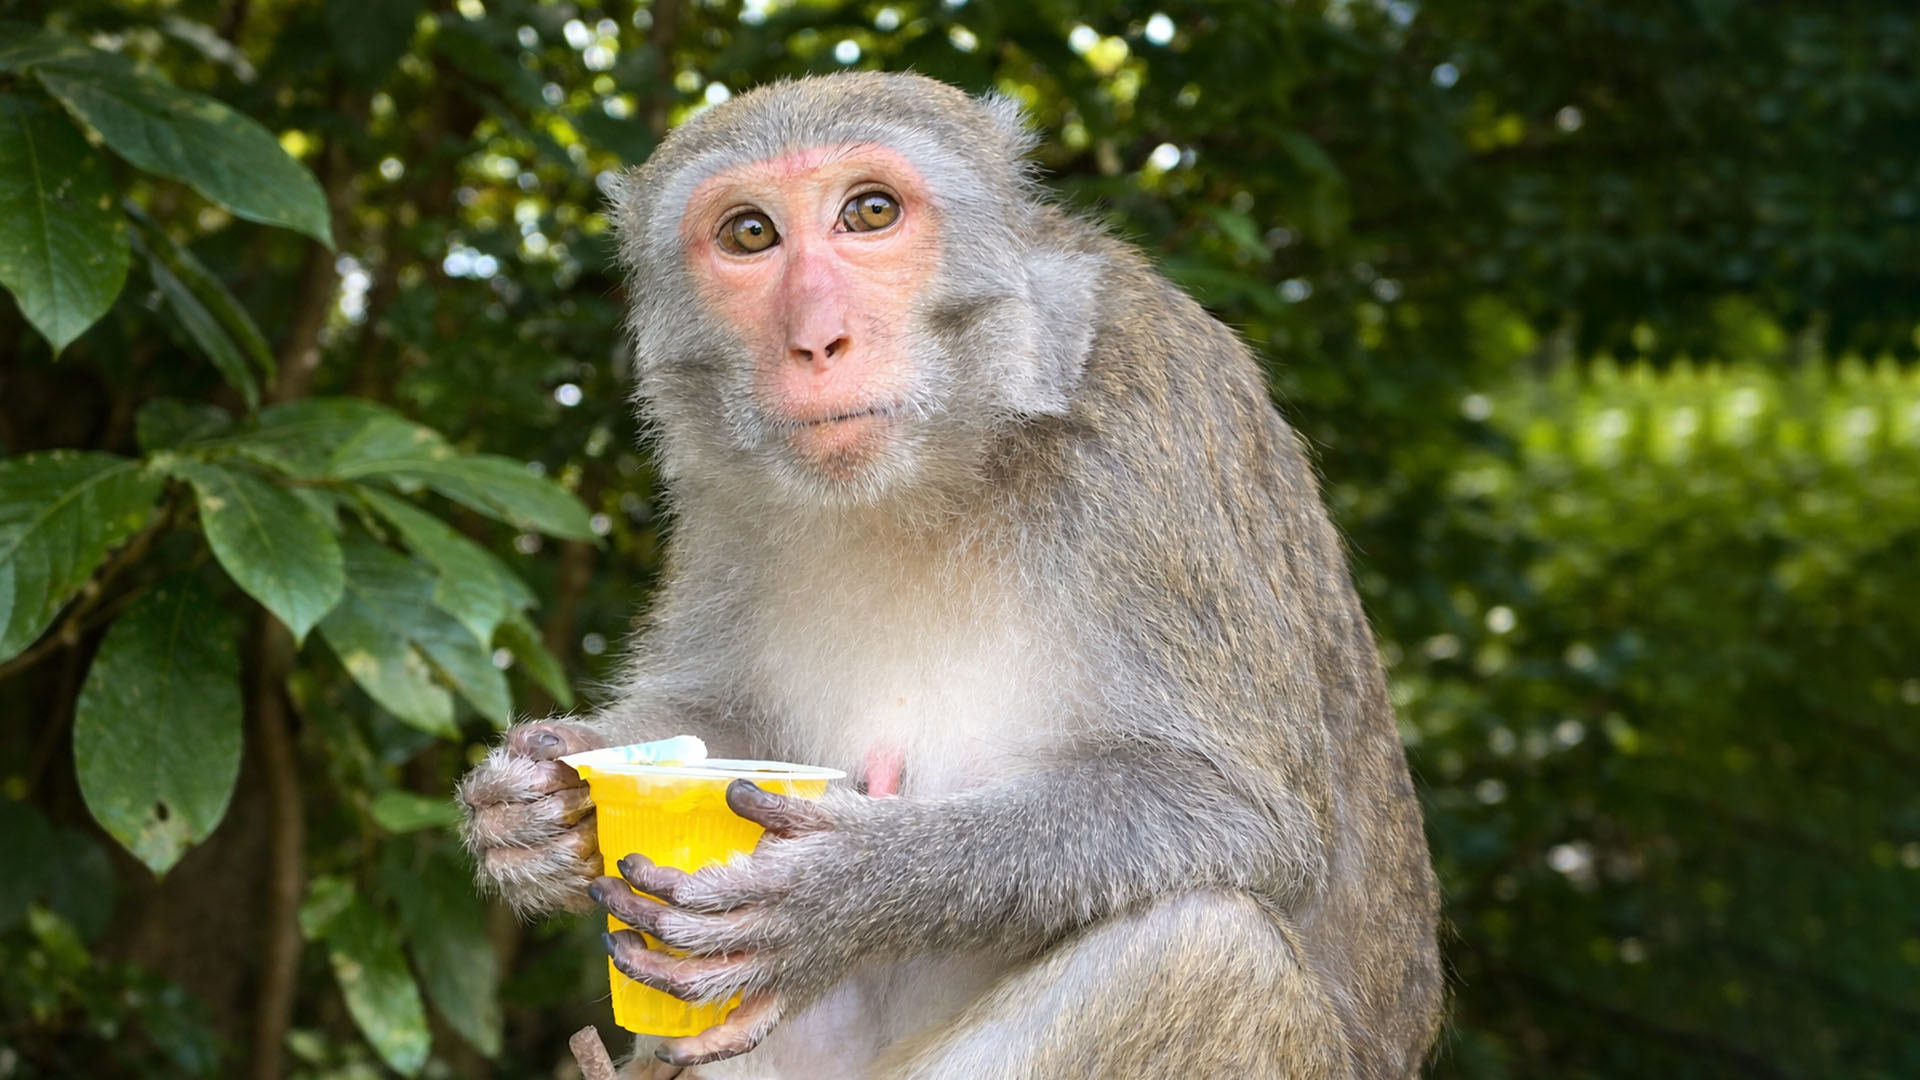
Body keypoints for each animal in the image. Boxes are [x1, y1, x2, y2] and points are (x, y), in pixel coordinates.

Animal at [458, 71, 1442, 1079]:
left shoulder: (1152, 425)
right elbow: (717, 722)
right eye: (750, 233)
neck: (929, 472)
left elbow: (1236, 808)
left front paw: (841, 893)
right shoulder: (721, 494)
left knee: (1202, 942)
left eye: (871, 212)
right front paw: (537, 804)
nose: (817, 341)